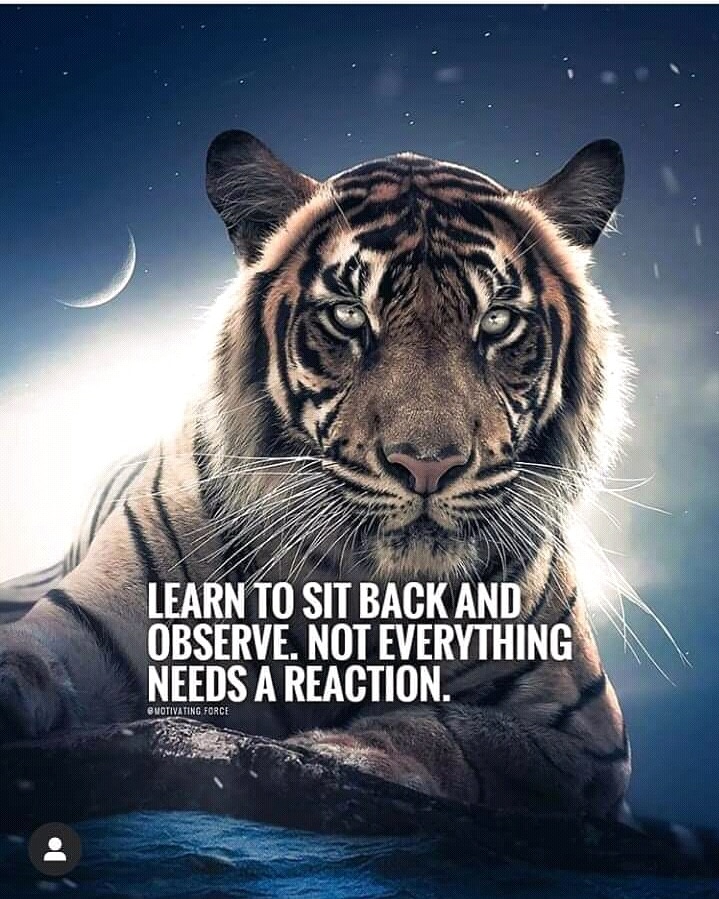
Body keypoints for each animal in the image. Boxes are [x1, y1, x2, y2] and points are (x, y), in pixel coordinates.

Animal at [0, 130, 633, 819]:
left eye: (496, 322)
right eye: (350, 317)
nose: (427, 464)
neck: (359, 590)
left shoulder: (588, 736)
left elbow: (464, 735)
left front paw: (337, 752)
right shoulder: (84, 631)